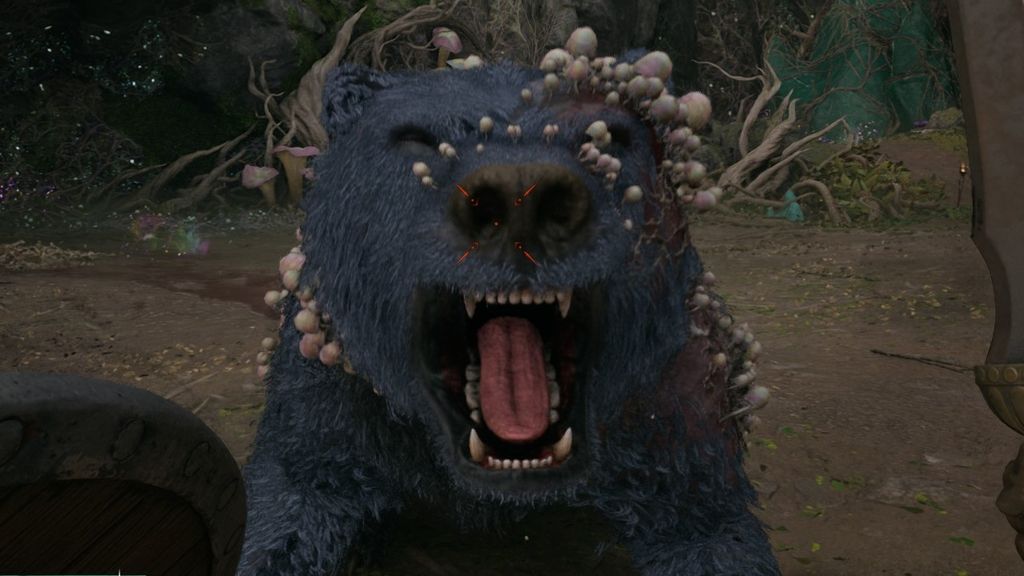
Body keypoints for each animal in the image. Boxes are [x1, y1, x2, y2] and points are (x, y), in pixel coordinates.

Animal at [239, 28, 779, 576]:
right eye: (417, 137)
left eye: (602, 136)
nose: (520, 195)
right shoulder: (324, 423)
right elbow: (288, 517)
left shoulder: (675, 436)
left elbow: (707, 531)